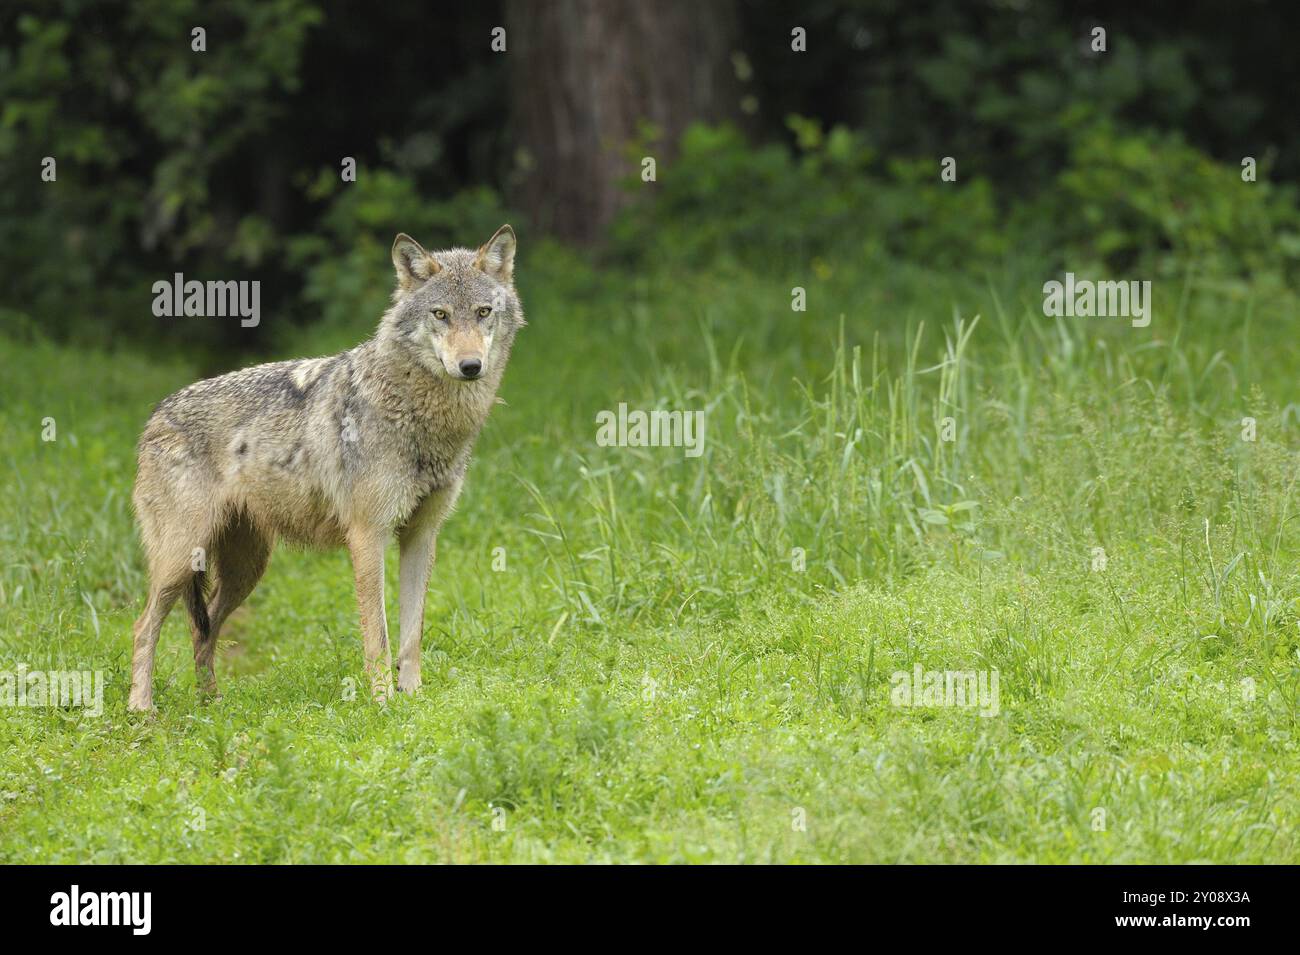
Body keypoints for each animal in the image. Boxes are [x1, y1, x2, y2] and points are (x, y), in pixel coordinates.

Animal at [128, 225, 523, 711]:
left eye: (483, 312)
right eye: (441, 314)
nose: (470, 366)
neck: (420, 417)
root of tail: (155, 416)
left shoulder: (421, 534)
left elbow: (412, 635)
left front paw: (413, 699)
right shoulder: (367, 536)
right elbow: (379, 637)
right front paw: (383, 704)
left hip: (245, 569)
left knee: (202, 628)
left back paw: (211, 706)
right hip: (181, 559)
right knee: (144, 626)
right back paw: (142, 710)